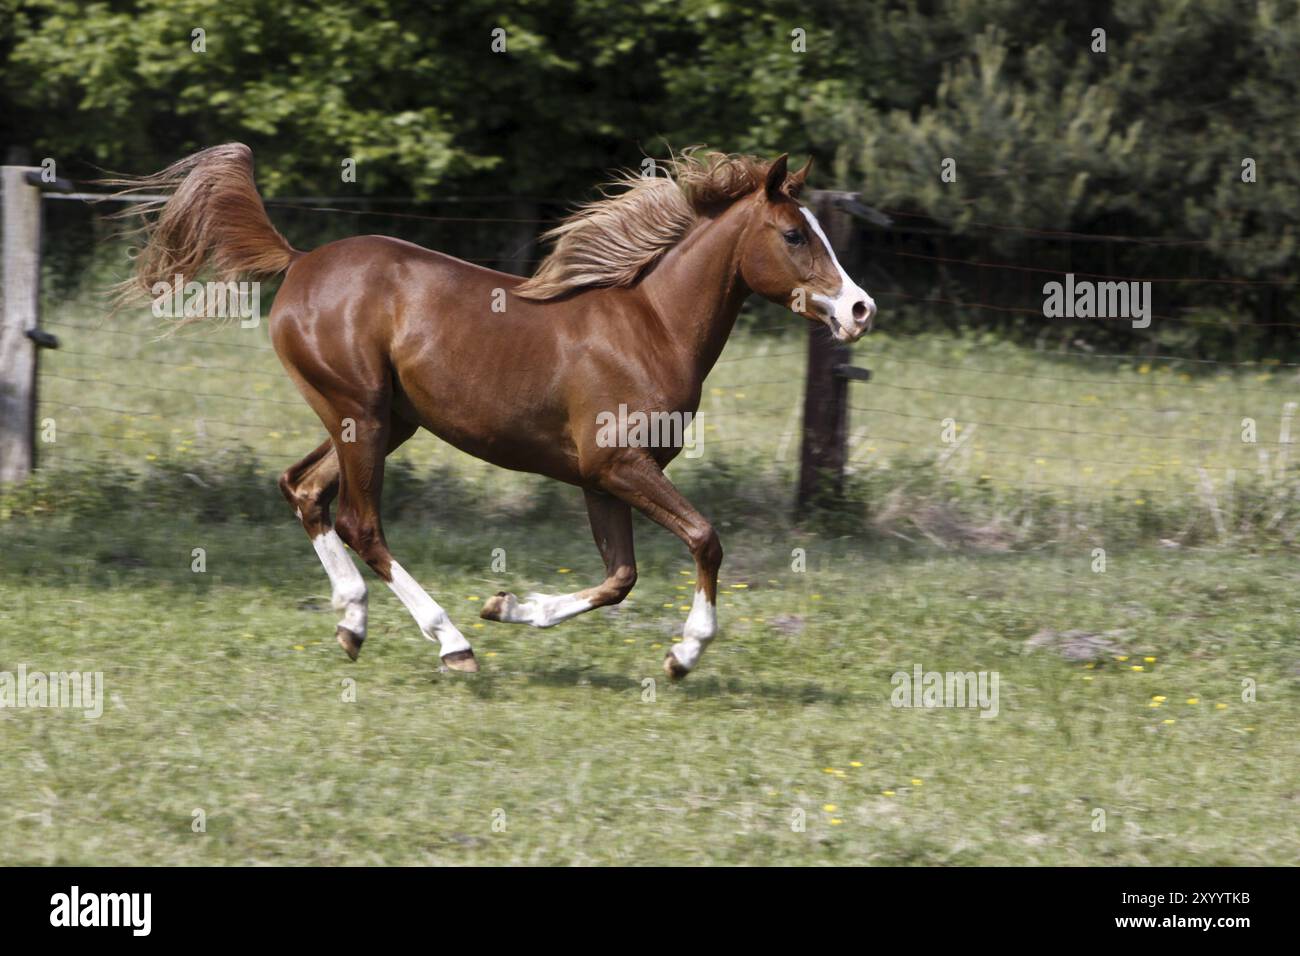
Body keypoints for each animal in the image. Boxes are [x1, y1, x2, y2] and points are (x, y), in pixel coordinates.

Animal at [110, 144, 875, 680]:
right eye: (794, 235)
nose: (860, 309)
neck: (651, 327)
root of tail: (298, 262)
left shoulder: (601, 479)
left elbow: (620, 579)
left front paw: (509, 605)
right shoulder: (619, 465)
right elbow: (705, 539)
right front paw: (684, 655)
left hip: (381, 419)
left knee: (302, 489)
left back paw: (354, 624)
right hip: (363, 414)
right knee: (360, 520)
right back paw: (452, 644)